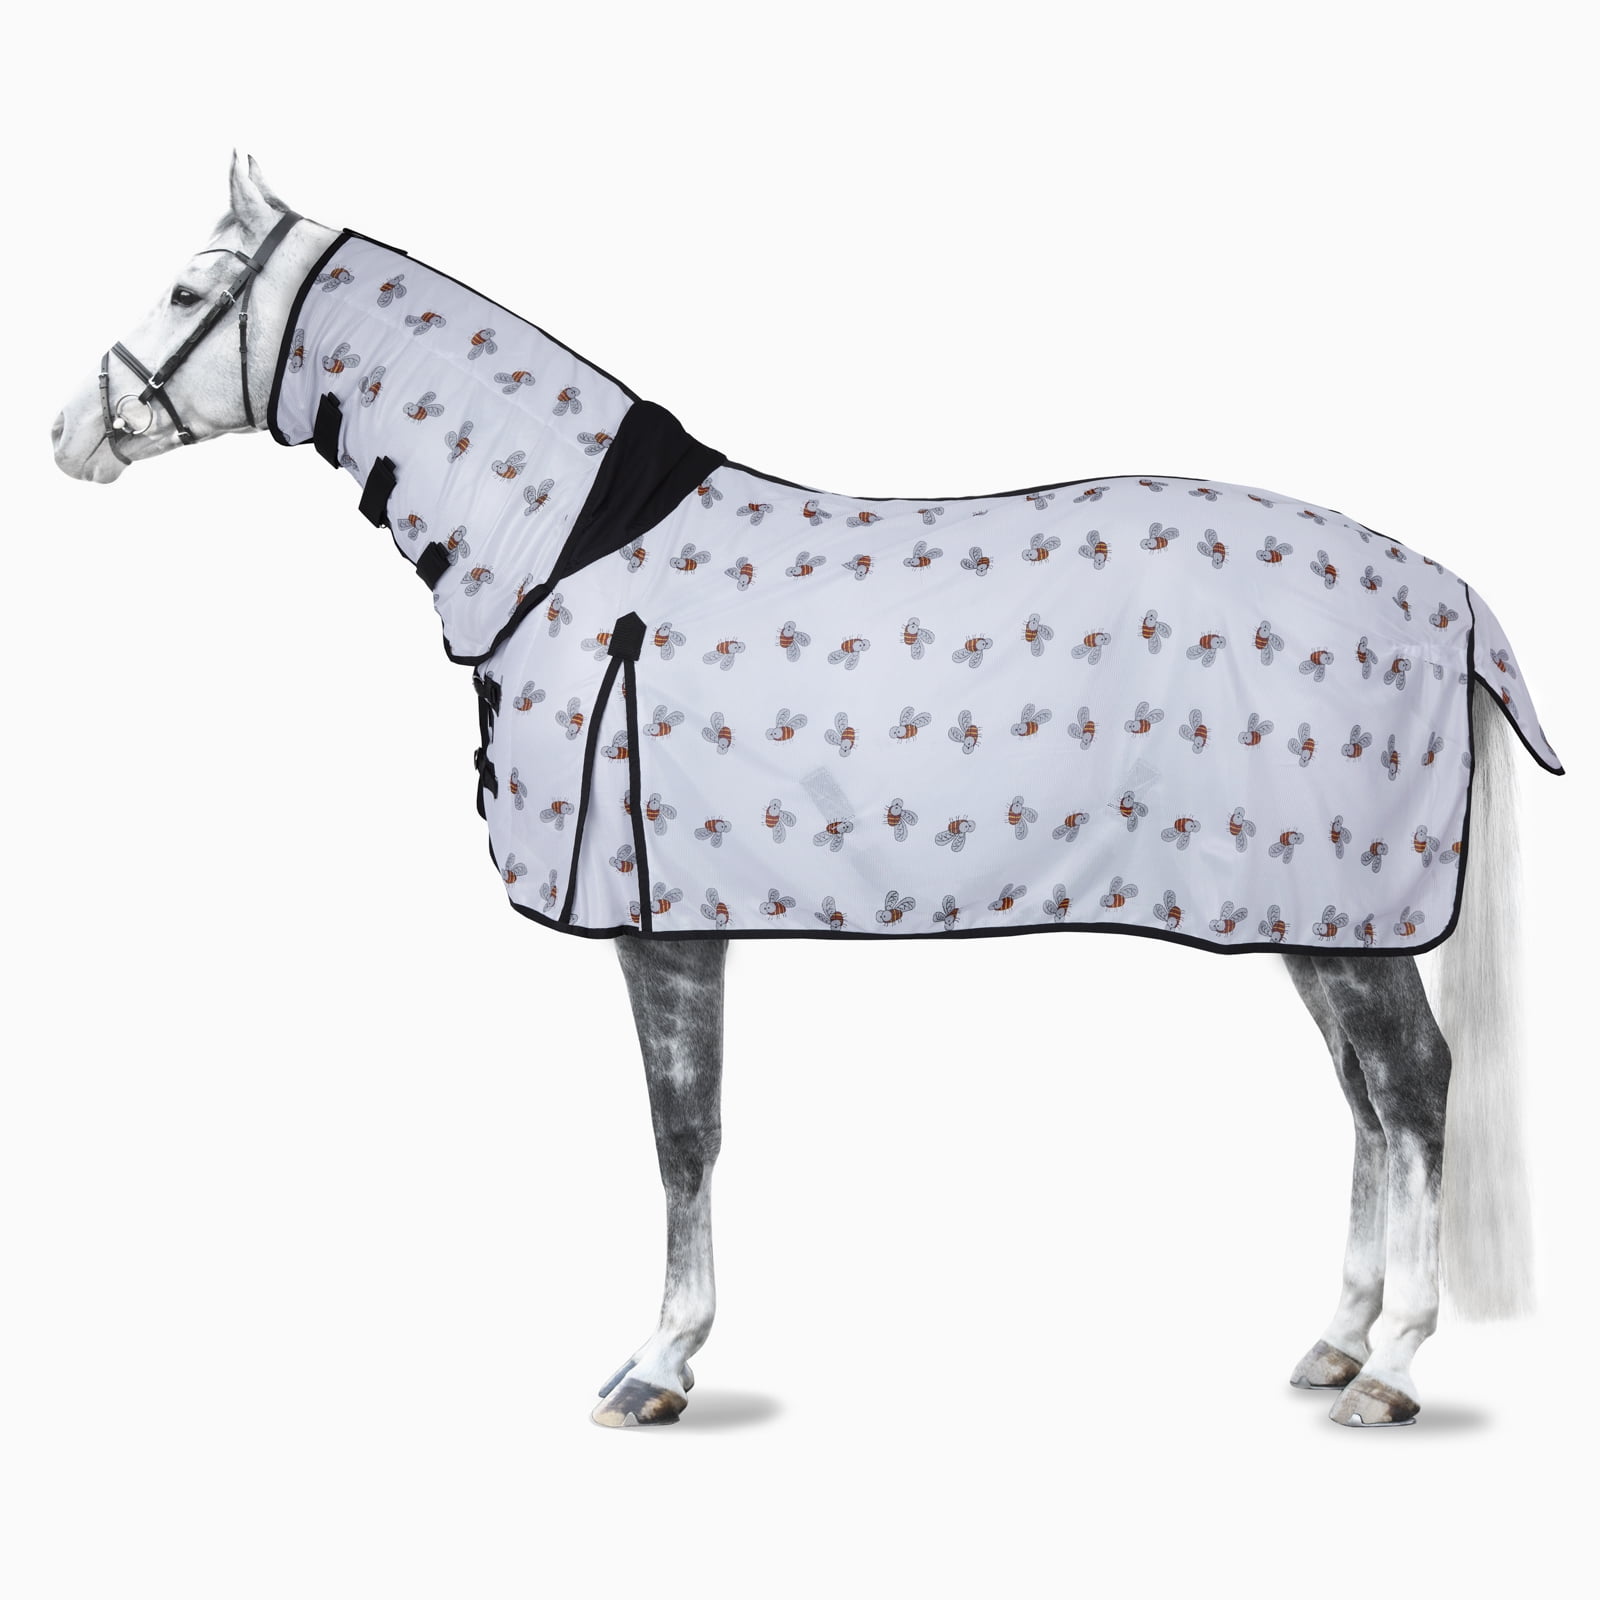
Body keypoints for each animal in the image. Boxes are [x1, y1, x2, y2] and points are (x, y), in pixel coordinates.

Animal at [52, 154, 1562, 1429]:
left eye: (187, 292)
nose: (71, 431)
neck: (569, 551)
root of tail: (1451, 592)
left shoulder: (660, 930)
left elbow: (682, 1133)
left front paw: (657, 1365)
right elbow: (692, 1133)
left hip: (1347, 917)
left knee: (1412, 1086)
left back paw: (1396, 1364)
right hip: (1311, 914)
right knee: (1363, 1096)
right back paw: (1339, 1342)